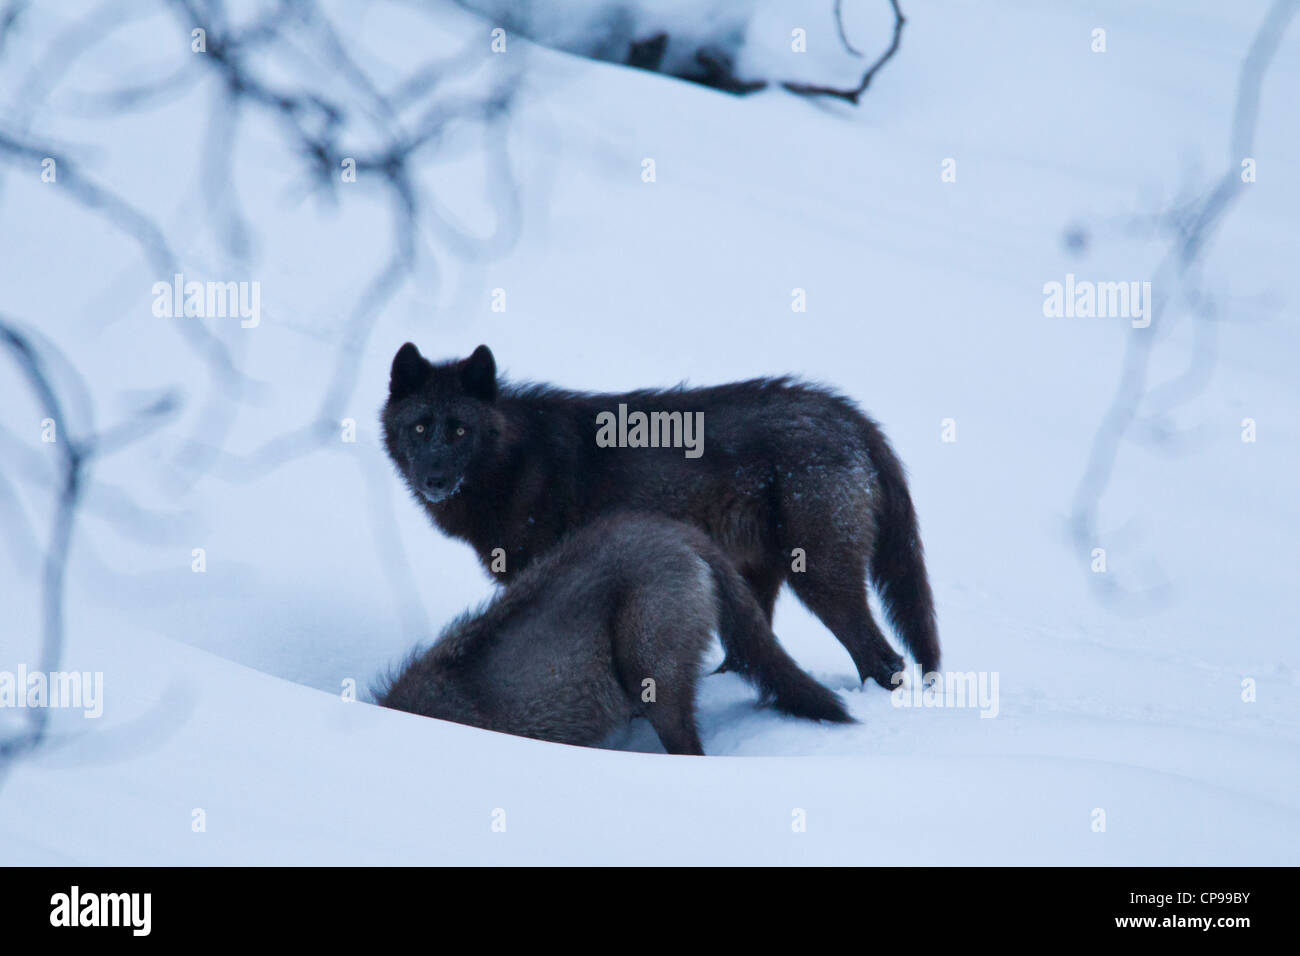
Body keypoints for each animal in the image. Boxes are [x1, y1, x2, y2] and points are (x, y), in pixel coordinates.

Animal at [381, 342, 939, 688]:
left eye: (459, 431)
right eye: (420, 428)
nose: (435, 479)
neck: (516, 461)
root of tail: (850, 416)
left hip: (820, 578)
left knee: (885, 660)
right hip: (752, 577)